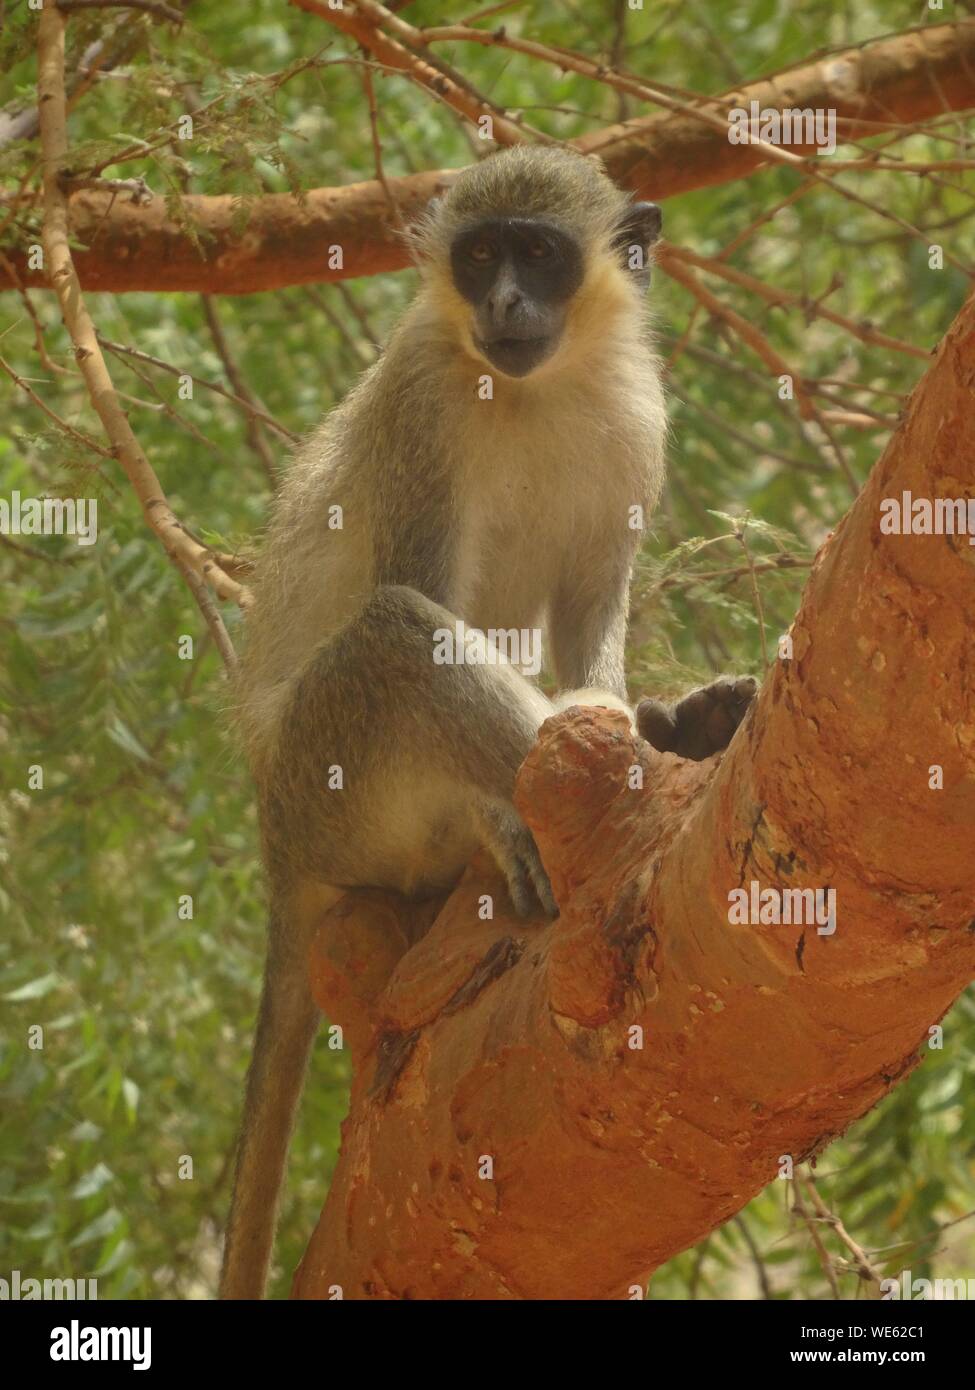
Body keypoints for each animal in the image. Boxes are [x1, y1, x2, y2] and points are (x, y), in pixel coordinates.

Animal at [219, 145, 755, 1299]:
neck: (538, 386)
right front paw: (533, 803)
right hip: (325, 785)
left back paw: (679, 736)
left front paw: (630, 715)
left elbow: (594, 607)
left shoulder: (636, 417)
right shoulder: (424, 402)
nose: (503, 302)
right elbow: (422, 590)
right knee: (393, 633)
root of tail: (275, 847)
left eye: (540, 255)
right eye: (477, 258)